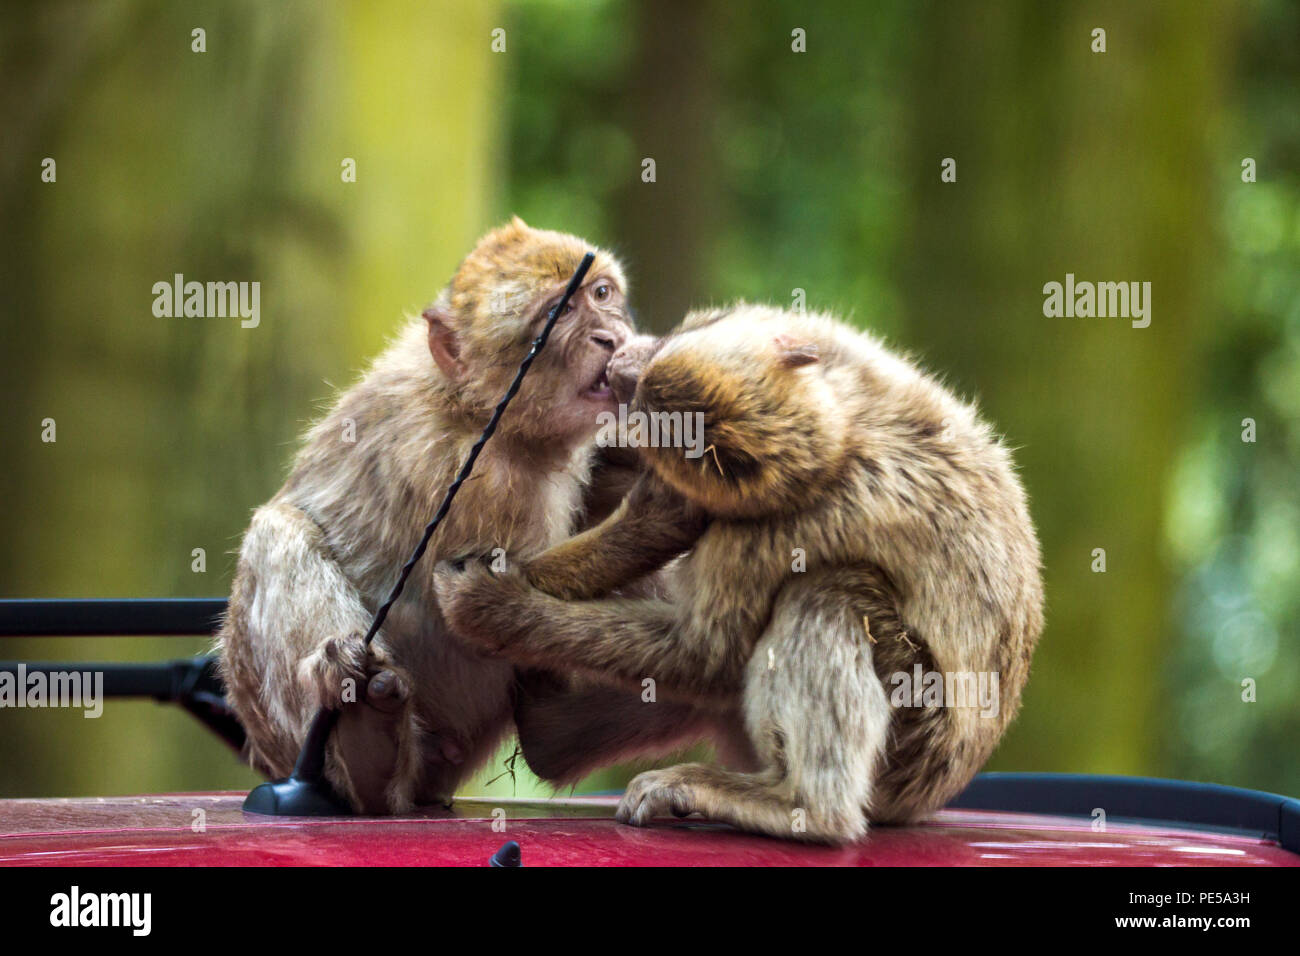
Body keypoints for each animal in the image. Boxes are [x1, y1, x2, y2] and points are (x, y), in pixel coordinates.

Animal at [217, 217, 709, 814]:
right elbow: (497, 607)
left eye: (601, 294)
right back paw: (364, 753)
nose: (610, 338)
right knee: (275, 532)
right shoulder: (483, 478)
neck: (476, 407)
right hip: (295, 738)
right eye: (558, 313)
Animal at [433, 303, 1044, 843]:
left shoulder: (770, 527)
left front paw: (492, 608)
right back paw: (551, 733)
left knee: (830, 594)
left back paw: (806, 810)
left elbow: (704, 652)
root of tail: (935, 795)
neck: (845, 427)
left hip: (911, 750)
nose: (622, 367)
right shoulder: (841, 345)